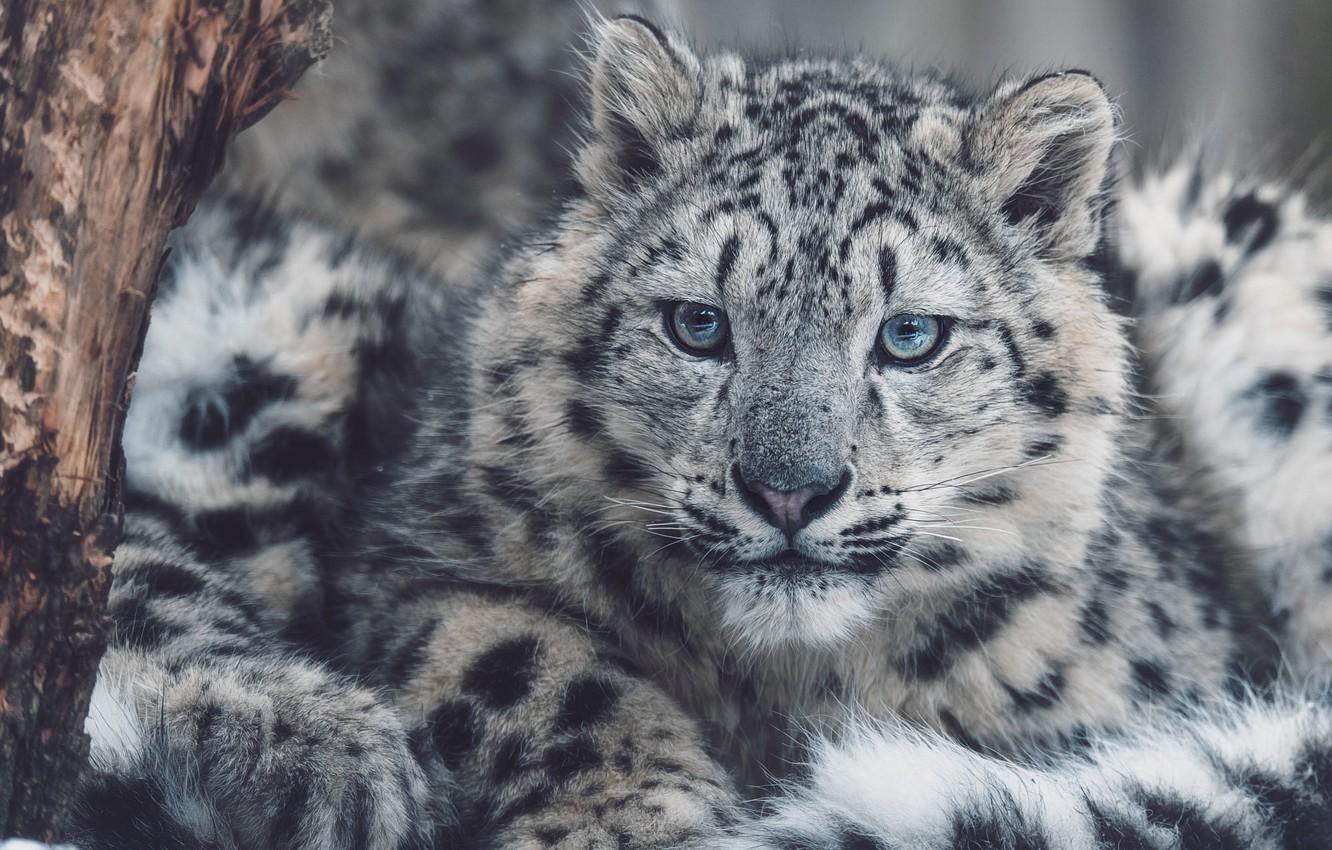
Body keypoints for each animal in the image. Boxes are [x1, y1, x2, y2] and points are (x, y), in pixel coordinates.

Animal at [16, 13, 1332, 850]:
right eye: (699, 323)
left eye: (910, 335)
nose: (790, 490)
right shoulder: (418, 570)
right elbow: (532, 662)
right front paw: (630, 820)